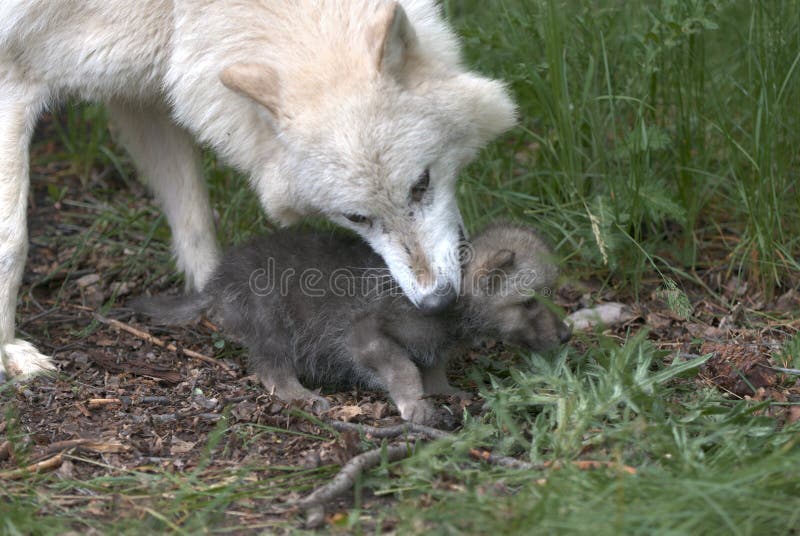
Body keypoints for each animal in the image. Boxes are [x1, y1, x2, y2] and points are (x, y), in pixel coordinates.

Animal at [0, 1, 516, 382]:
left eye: (420, 185)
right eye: (357, 218)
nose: (437, 302)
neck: (180, 12)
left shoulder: (144, 93)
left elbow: (194, 217)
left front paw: (214, 298)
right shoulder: (14, 83)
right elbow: (12, 243)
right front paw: (10, 352)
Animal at [133, 223, 572, 424]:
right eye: (529, 302)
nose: (568, 334)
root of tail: (217, 280)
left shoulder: (432, 348)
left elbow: (432, 369)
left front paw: (447, 393)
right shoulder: (365, 336)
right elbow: (405, 370)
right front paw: (416, 408)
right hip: (272, 324)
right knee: (272, 372)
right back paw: (303, 397)